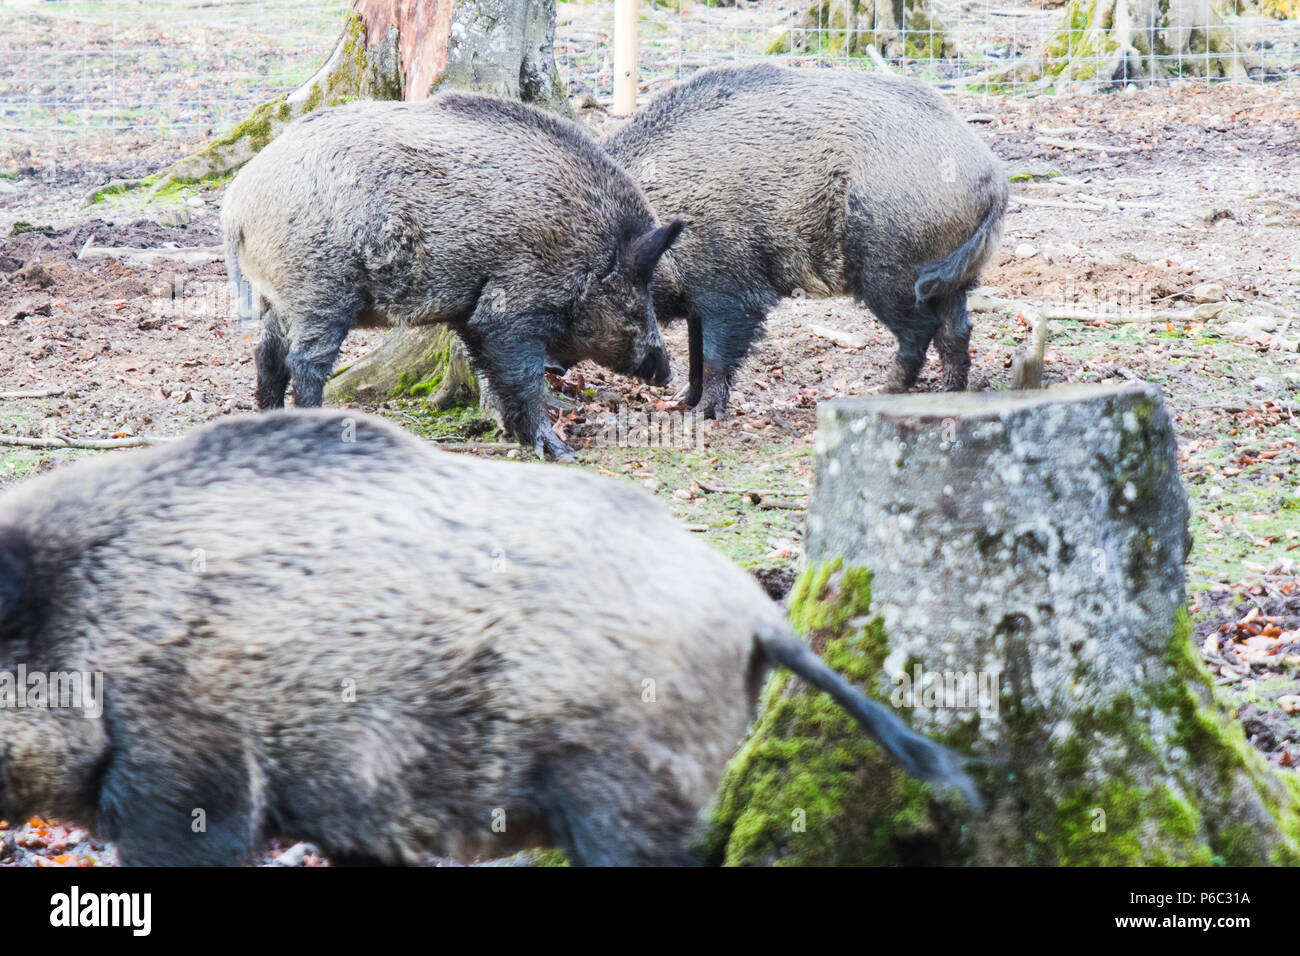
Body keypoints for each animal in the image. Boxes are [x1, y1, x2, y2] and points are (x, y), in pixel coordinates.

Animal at [222, 92, 684, 461]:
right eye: (639, 287)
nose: (667, 373)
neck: (584, 246)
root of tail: (237, 202)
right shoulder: (513, 304)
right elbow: (524, 377)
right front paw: (561, 452)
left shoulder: (473, 316)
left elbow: (494, 374)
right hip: (320, 290)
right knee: (304, 363)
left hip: (281, 296)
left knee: (267, 355)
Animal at [602, 64, 1008, 417]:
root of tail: (995, 177)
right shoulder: (700, 299)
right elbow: (695, 351)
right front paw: (683, 402)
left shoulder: (730, 289)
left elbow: (715, 354)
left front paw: (702, 414)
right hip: (949, 274)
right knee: (957, 331)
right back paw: (948, 394)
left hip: (891, 272)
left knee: (921, 331)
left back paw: (886, 391)